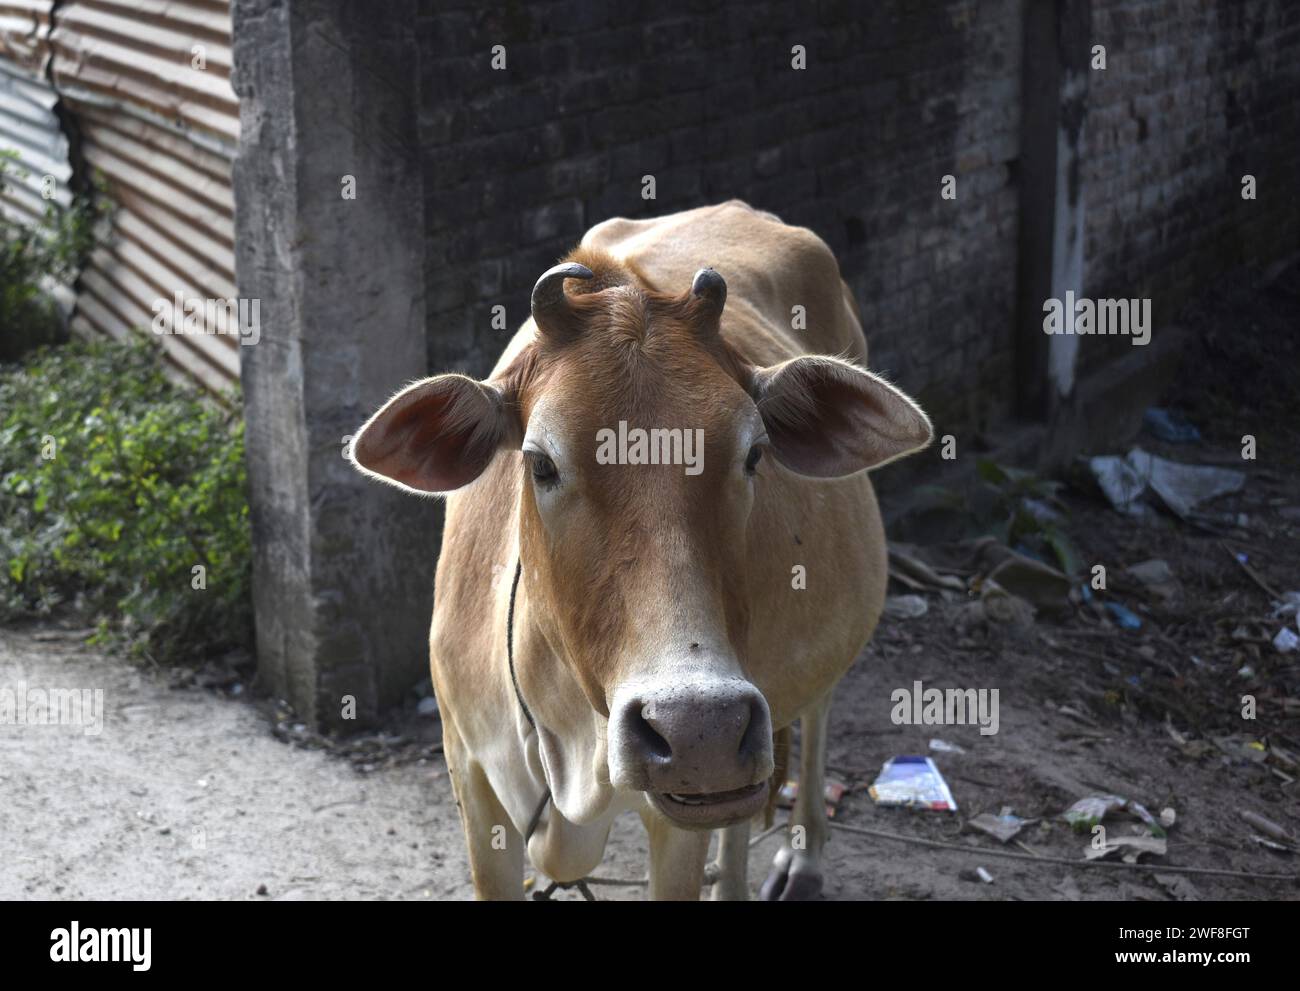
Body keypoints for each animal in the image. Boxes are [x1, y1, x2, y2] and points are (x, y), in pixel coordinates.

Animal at [349, 200, 932, 899]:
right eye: (540, 462)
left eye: (754, 454)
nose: (698, 728)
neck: (574, 735)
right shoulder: (470, 770)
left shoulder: (679, 817)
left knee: (815, 717)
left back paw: (803, 858)